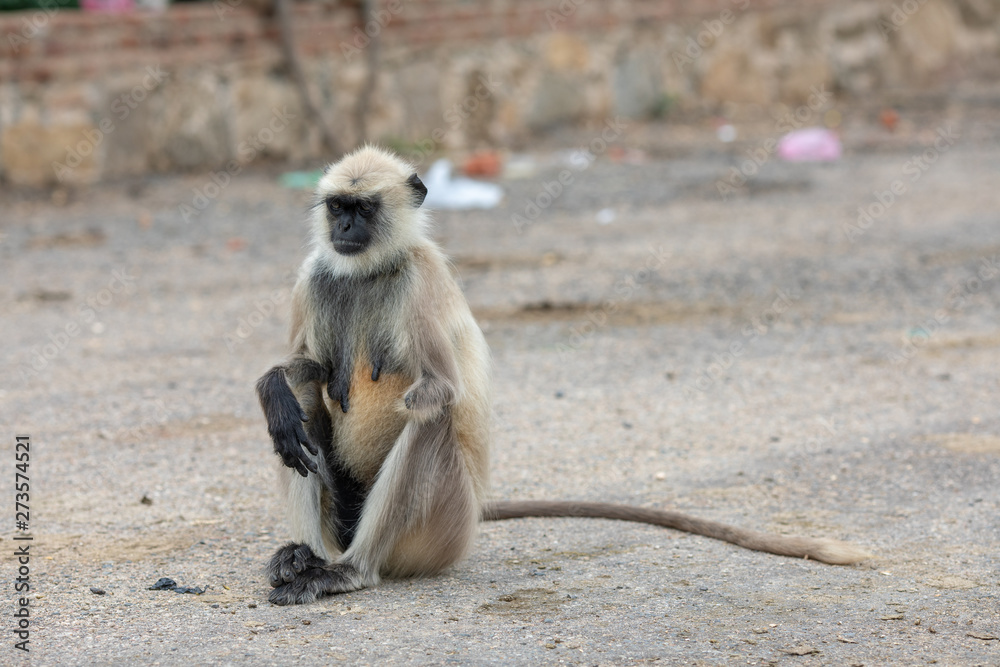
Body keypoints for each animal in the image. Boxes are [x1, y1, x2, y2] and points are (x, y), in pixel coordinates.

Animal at [256, 146, 868, 606]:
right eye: (338, 206)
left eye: (364, 208)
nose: (344, 225)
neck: (370, 271)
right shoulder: (316, 273)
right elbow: (305, 371)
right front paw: (273, 389)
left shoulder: (420, 278)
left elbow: (437, 393)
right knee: (301, 411)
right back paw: (304, 552)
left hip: (441, 531)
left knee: (432, 420)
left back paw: (350, 568)